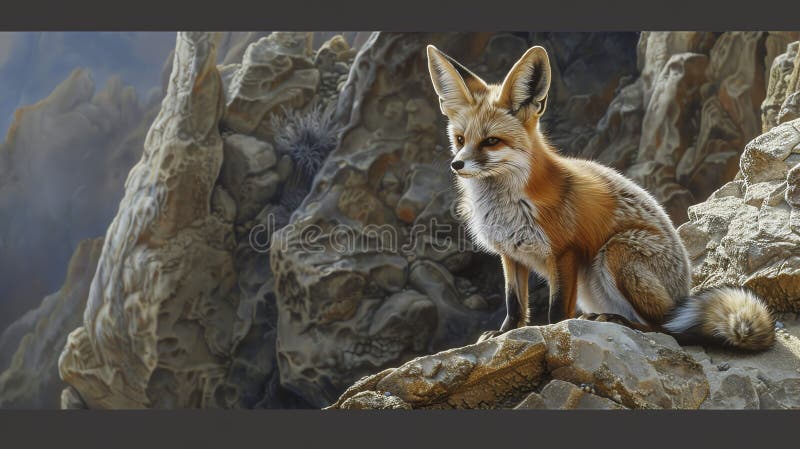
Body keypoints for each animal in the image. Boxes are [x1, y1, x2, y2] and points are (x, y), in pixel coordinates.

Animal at [426, 44, 775, 351]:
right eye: (460, 139)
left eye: (491, 141)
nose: (457, 165)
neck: (510, 204)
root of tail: (684, 292)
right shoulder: (511, 254)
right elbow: (515, 303)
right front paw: (505, 333)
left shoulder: (565, 252)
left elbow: (557, 310)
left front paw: (551, 333)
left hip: (616, 251)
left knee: (663, 329)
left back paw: (620, 323)